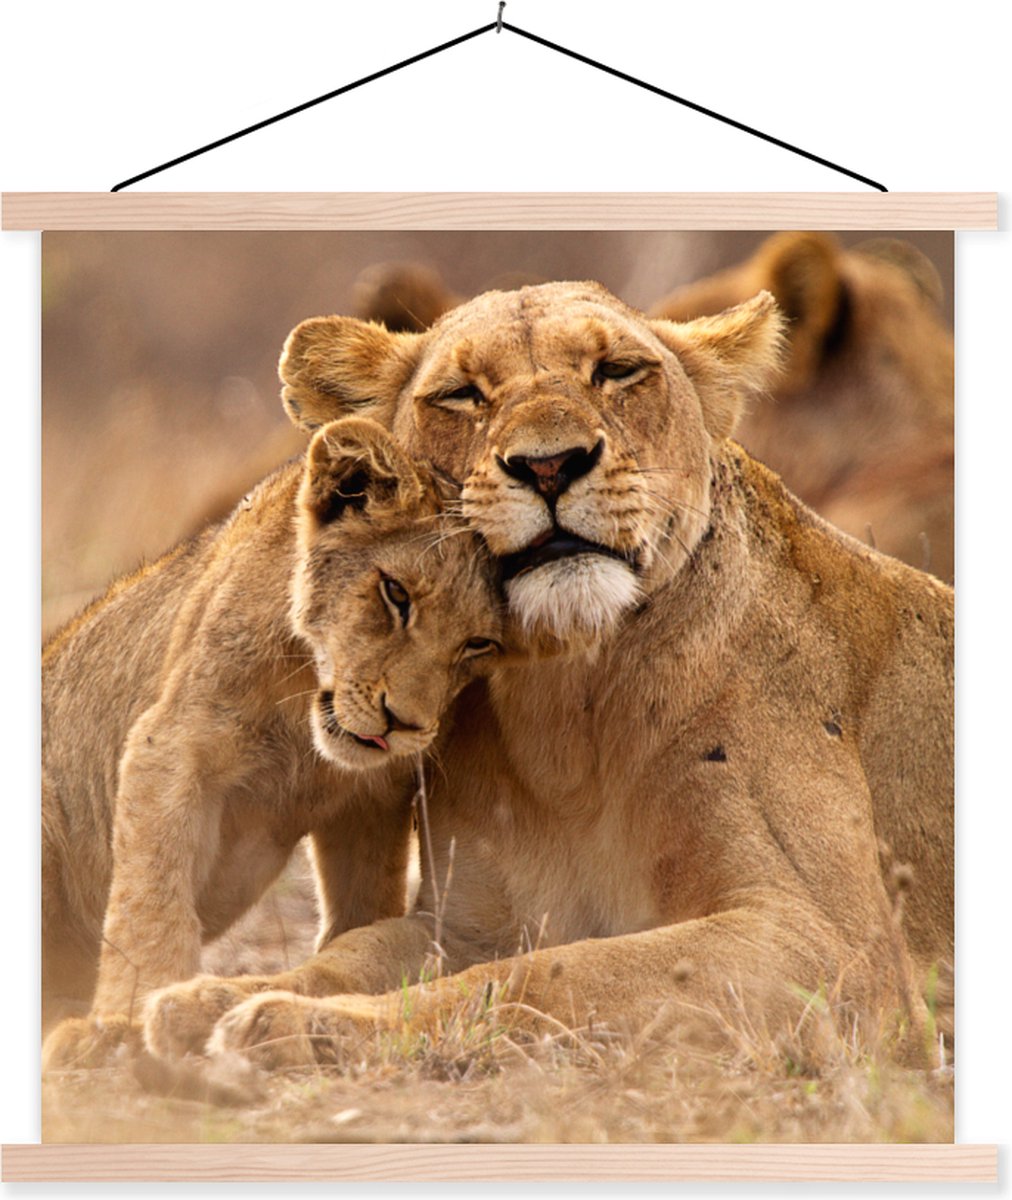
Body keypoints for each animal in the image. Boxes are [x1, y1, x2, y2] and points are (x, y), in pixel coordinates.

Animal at [41, 417, 505, 1067]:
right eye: (396, 593)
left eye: (479, 643)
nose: (404, 725)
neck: (302, 702)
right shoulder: (169, 746)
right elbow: (151, 900)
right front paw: (123, 1020)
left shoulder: (372, 798)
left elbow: (365, 905)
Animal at [144, 282, 952, 1072]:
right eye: (462, 394)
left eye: (618, 371)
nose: (549, 465)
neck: (566, 709)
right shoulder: (467, 924)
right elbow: (356, 950)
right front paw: (214, 998)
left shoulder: (835, 949)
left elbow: (551, 974)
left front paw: (297, 1026)